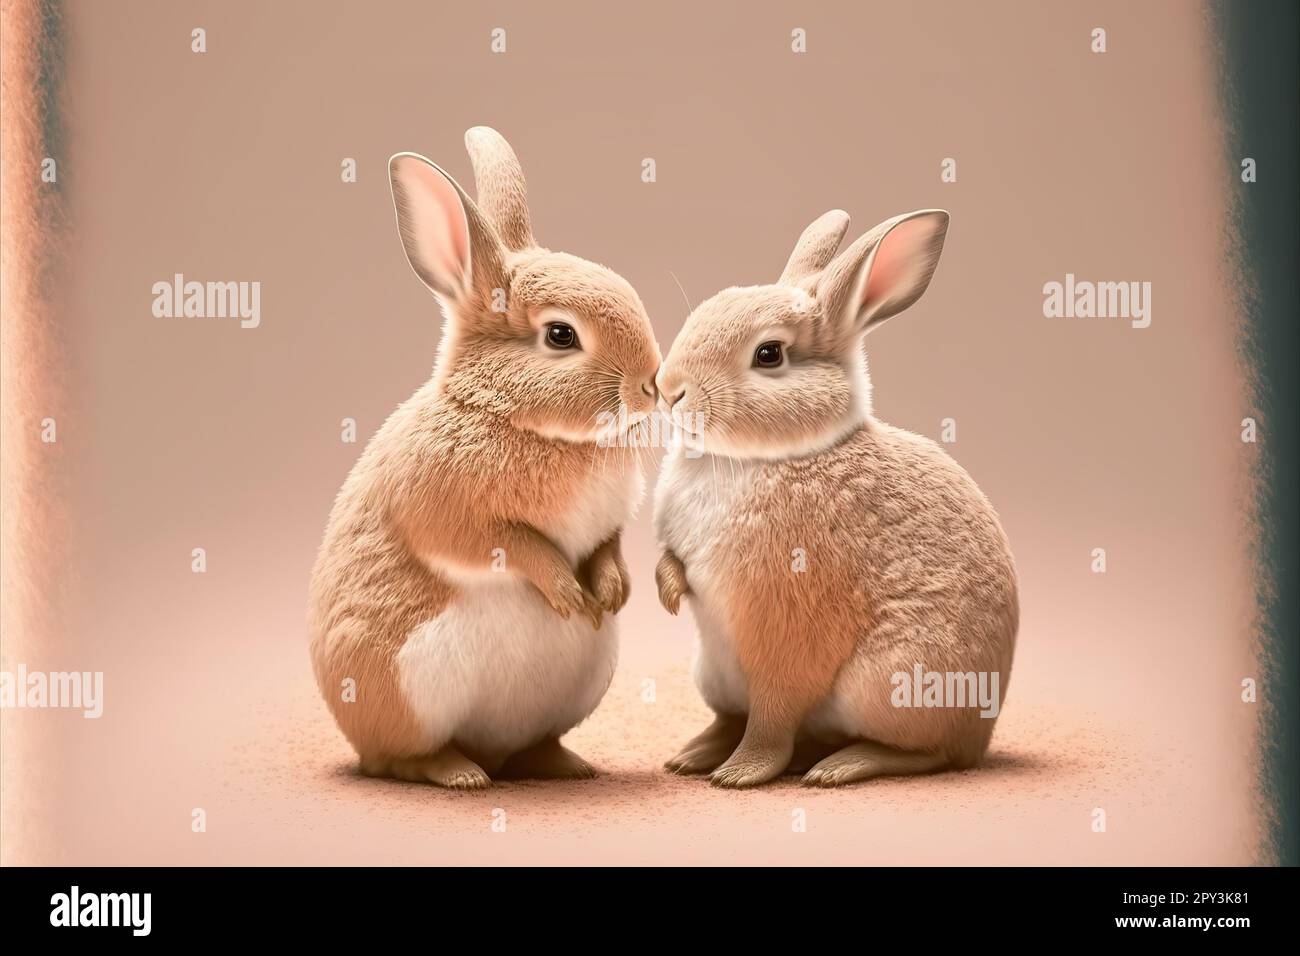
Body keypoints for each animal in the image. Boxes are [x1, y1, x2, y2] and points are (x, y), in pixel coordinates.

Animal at [309, 128, 661, 788]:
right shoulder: (455, 515)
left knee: (531, 746)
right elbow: (515, 546)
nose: (651, 385)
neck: (516, 418)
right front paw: (567, 594)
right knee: (403, 758)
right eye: (560, 335)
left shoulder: (609, 523)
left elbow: (606, 546)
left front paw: (609, 592)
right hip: (409, 690)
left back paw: (566, 765)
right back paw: (459, 774)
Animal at [653, 208, 1018, 788]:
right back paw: (690, 756)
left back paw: (837, 767)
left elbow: (772, 721)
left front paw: (742, 775)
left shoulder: (783, 634)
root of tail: (977, 737)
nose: (670, 391)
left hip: (886, 682)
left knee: (926, 754)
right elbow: (672, 564)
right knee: (727, 718)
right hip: (711, 668)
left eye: (769, 354)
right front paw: (668, 594)